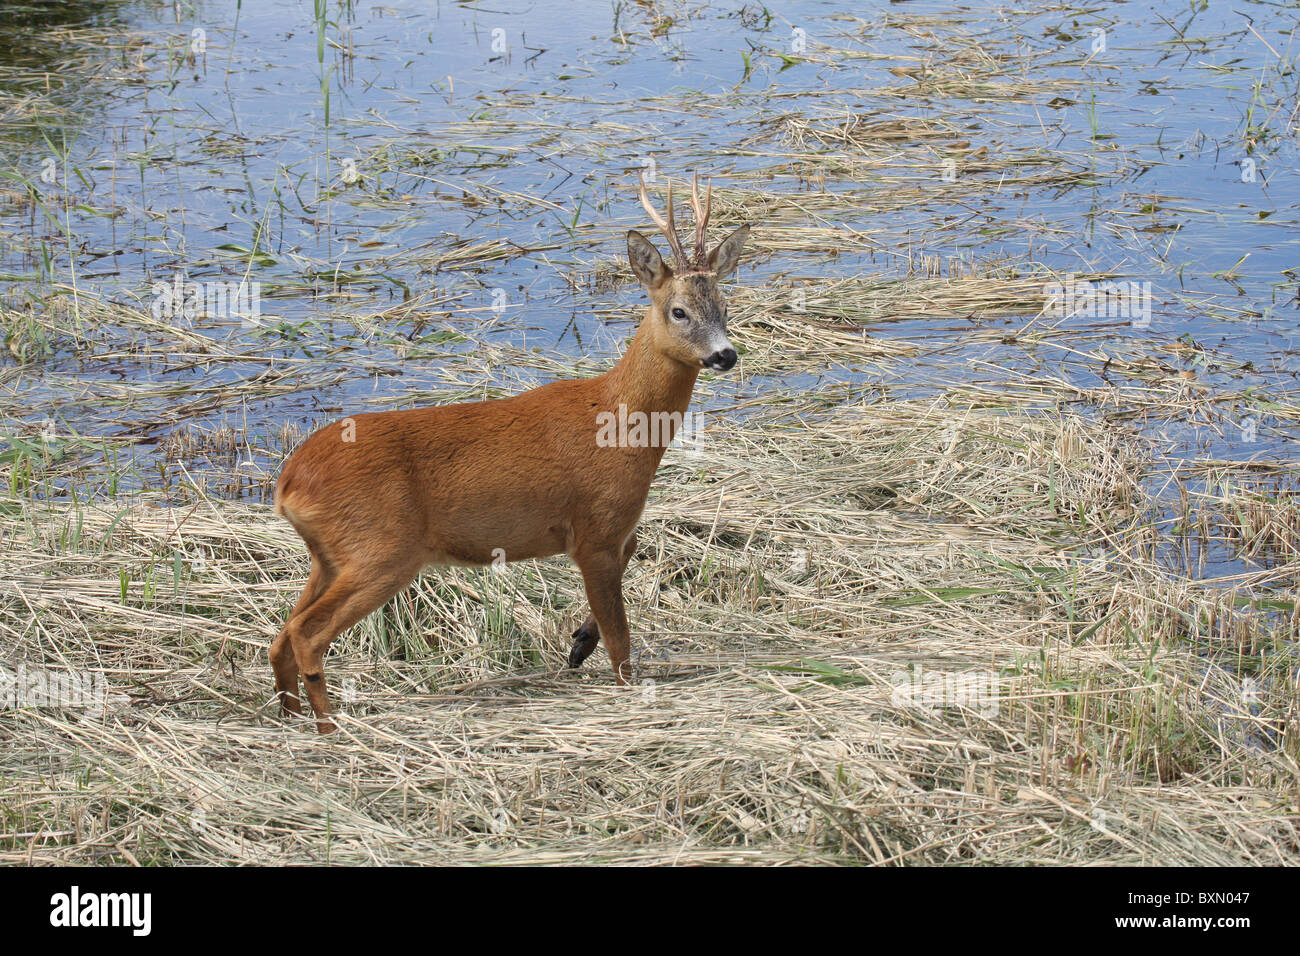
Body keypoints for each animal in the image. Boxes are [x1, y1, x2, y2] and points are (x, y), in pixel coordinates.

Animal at [271, 172, 749, 732]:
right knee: (306, 633)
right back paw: (331, 728)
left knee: (283, 634)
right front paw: (619, 683)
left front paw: (579, 642)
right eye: (679, 311)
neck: (621, 422)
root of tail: (288, 484)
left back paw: (289, 717)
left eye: (726, 308)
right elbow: (622, 642)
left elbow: (628, 568)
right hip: (380, 548)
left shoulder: (612, 526)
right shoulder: (595, 526)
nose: (725, 355)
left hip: (329, 554)